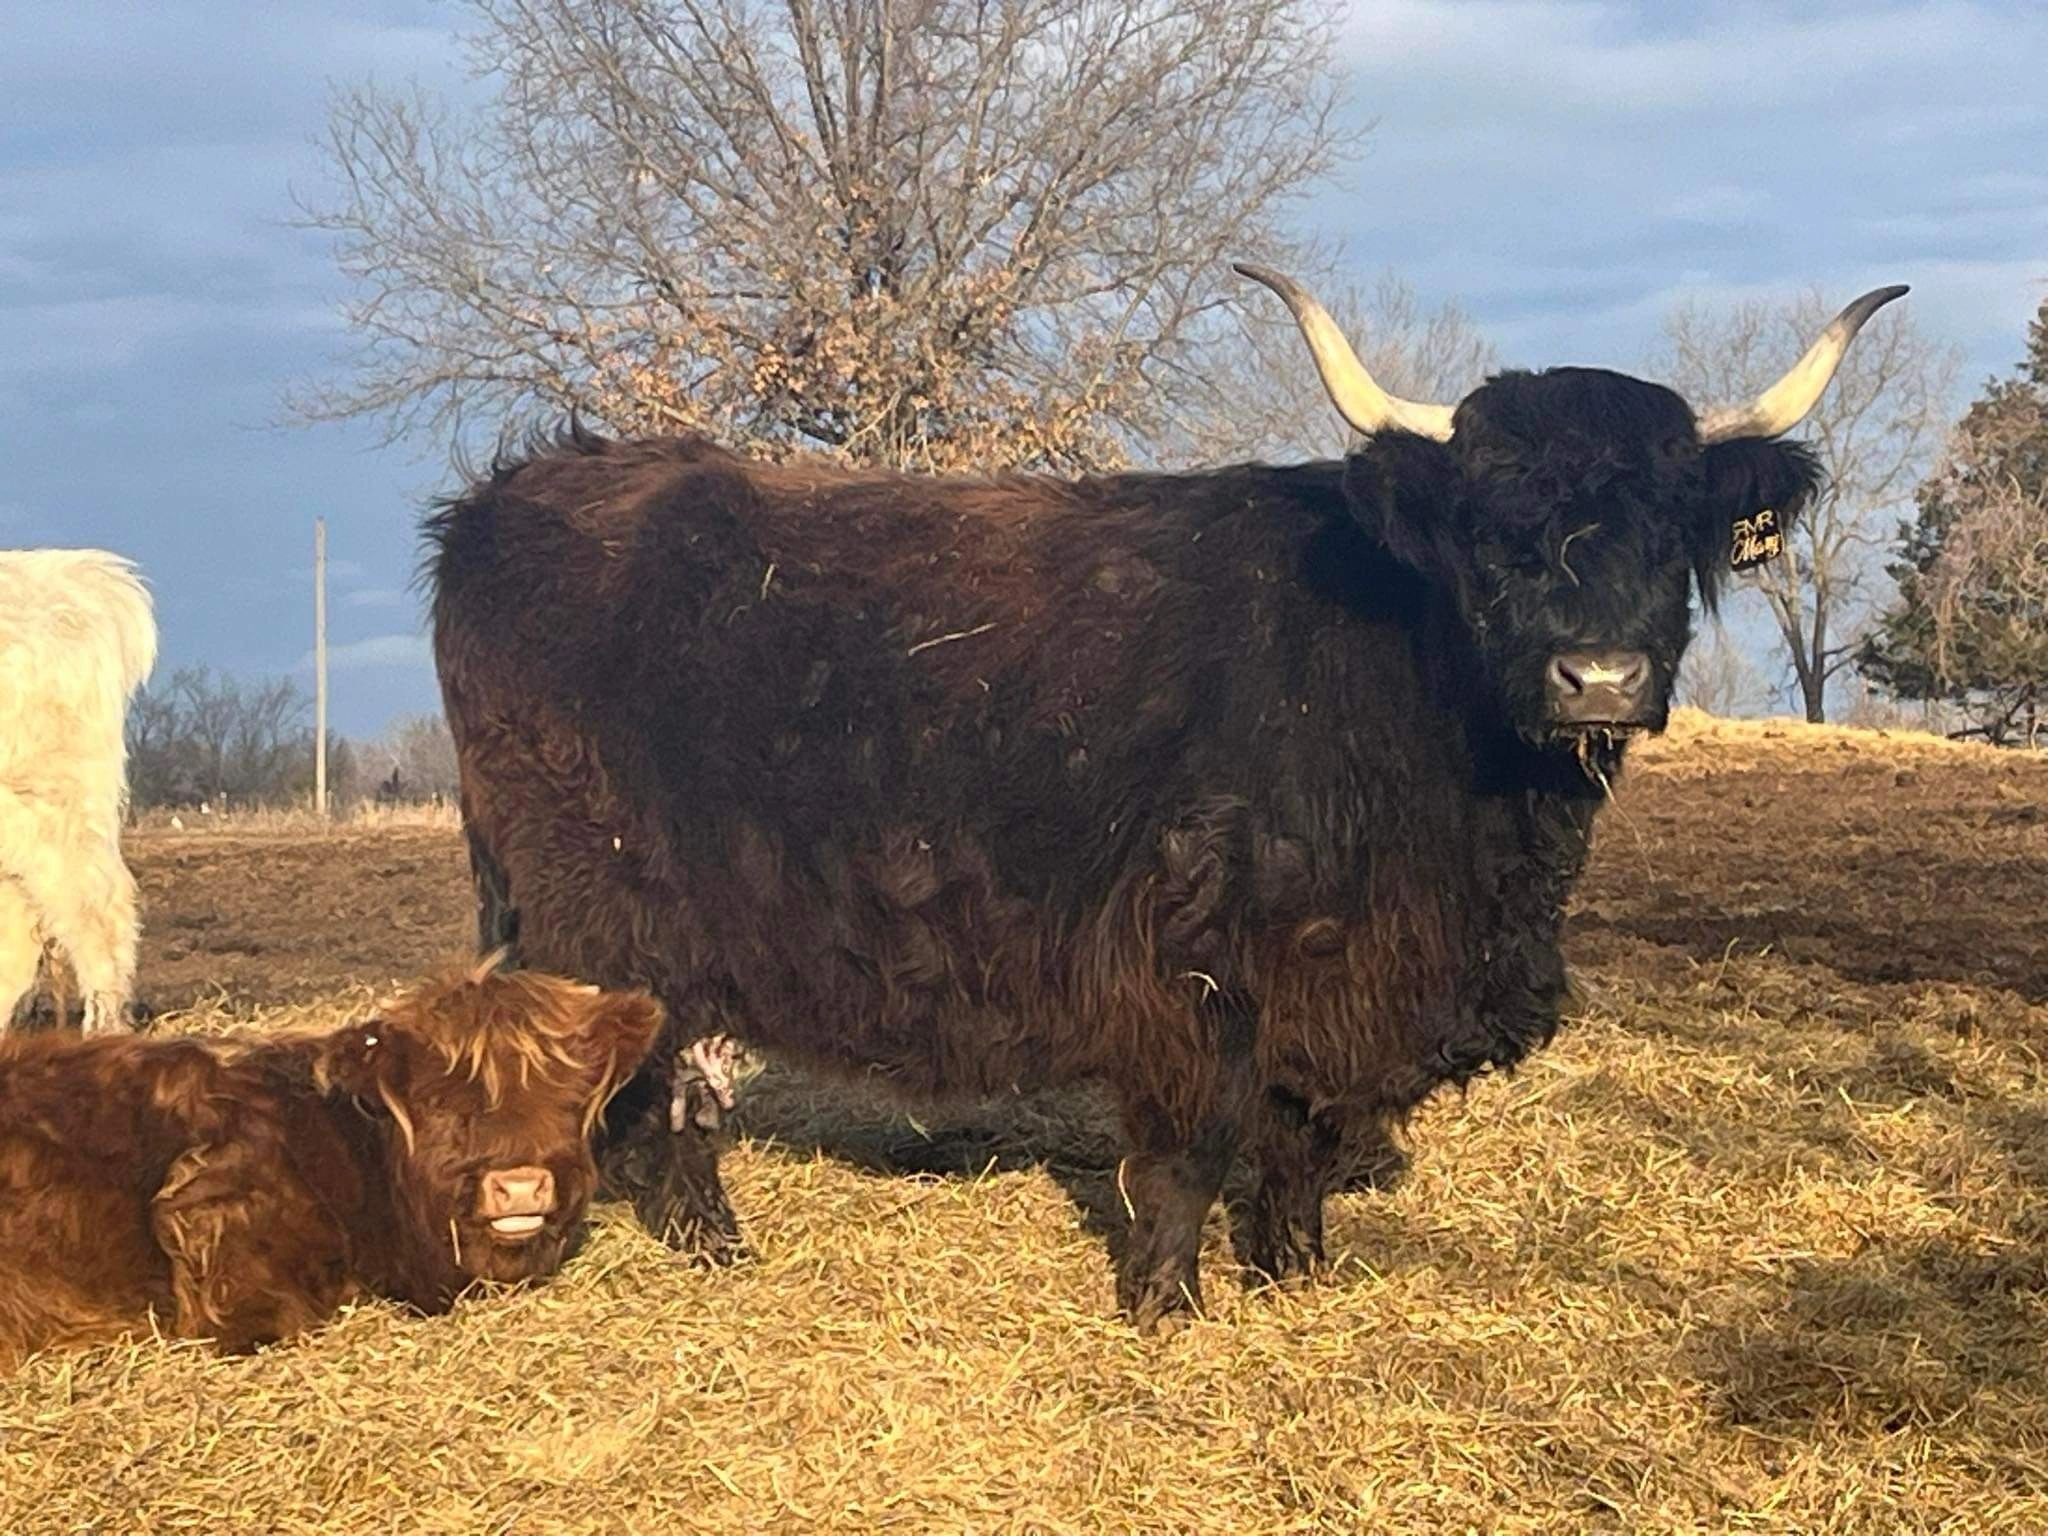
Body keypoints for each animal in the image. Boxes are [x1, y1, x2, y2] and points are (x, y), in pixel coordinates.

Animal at [426, 267, 1905, 1330]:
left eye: (1671, 529)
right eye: (1496, 536)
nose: (1596, 676)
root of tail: (516, 490)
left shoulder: (1341, 978)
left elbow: (1306, 1139)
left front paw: (1295, 1276)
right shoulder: (1194, 953)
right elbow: (1196, 1144)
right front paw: (1165, 1305)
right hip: (609, 919)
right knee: (640, 1097)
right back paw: (716, 1254)